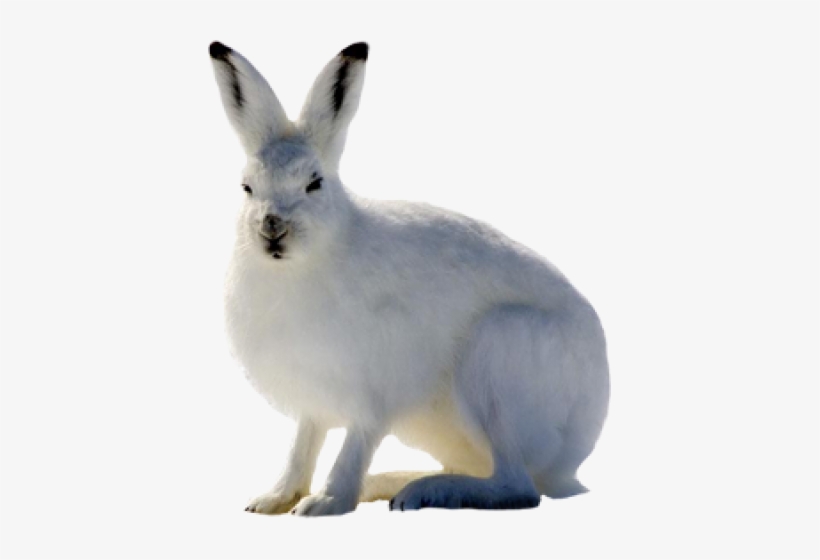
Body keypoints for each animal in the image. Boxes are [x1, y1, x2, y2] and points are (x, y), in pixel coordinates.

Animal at [209, 40, 609, 516]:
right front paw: (272, 499)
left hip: (498, 356)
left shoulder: (375, 390)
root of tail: (574, 458)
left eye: (314, 183)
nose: (272, 227)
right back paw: (397, 483)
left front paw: (325, 501)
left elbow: (354, 444)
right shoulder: (314, 399)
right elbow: (303, 445)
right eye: (247, 188)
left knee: (518, 486)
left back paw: (425, 492)